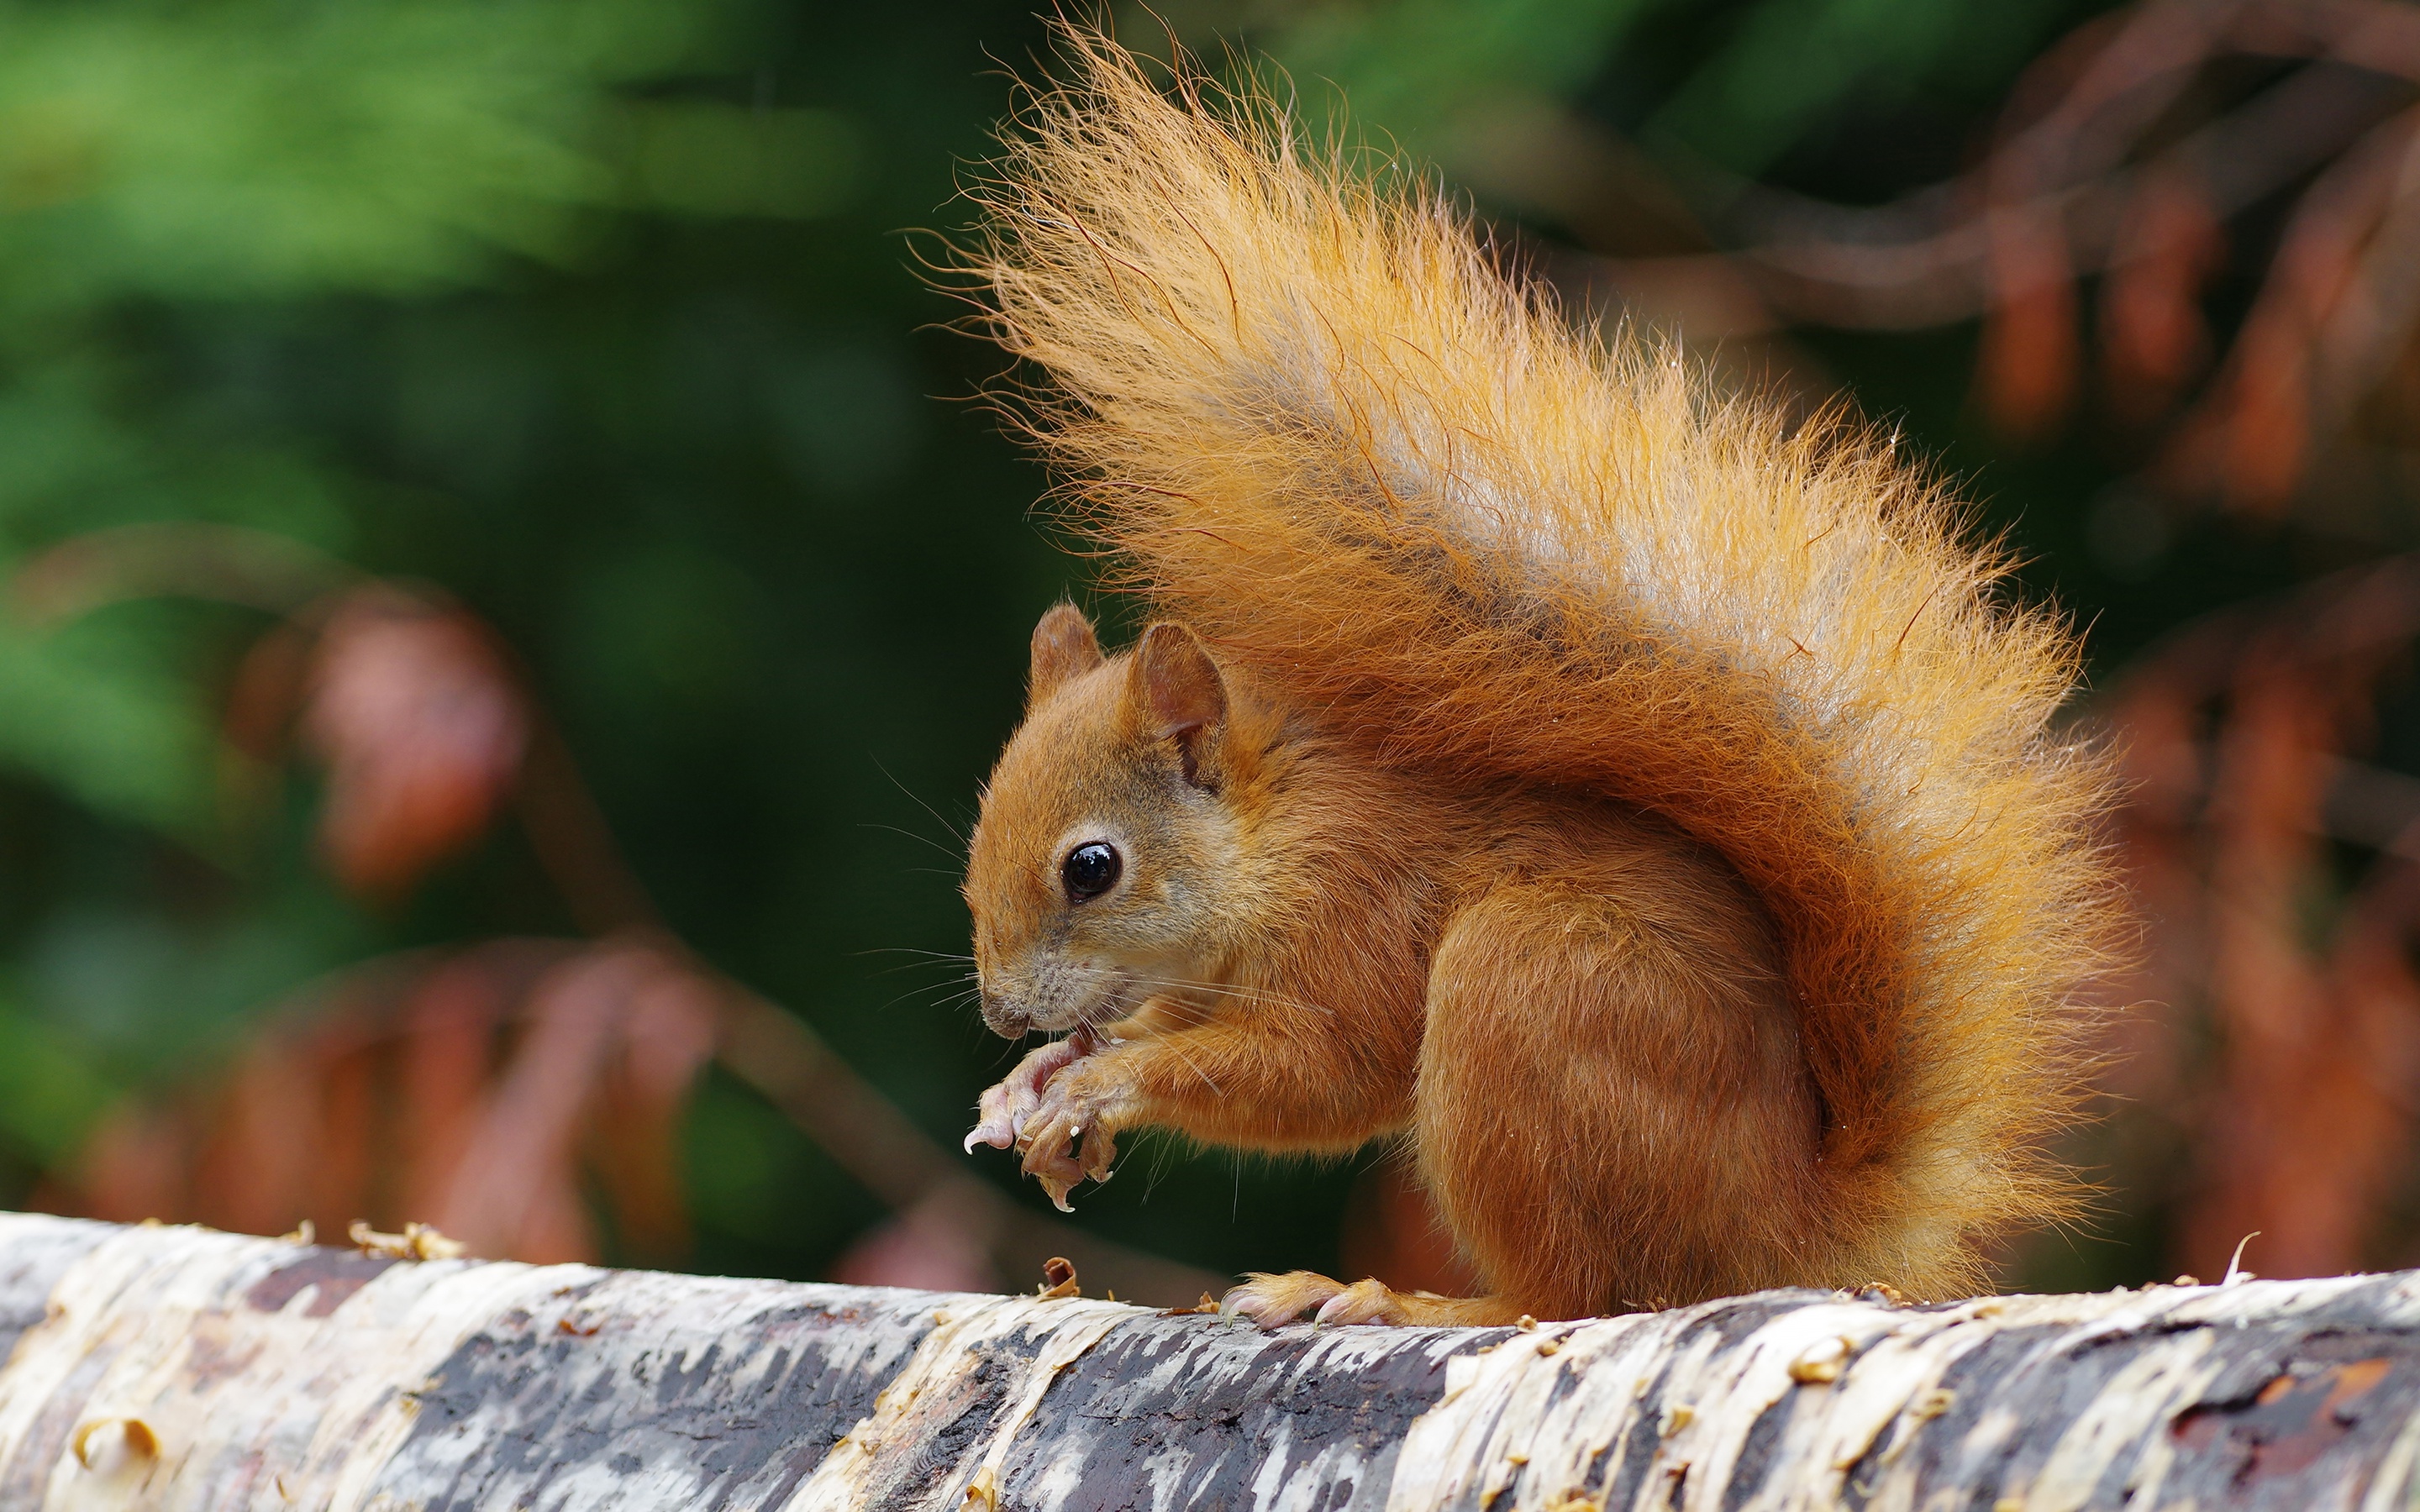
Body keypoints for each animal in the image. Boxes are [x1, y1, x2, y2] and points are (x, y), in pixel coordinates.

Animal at [953, 29, 2124, 1327]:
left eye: (1093, 869)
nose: (1001, 1010)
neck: (1271, 835)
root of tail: (1789, 1232)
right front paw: (1033, 1082)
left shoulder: (1357, 909)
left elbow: (1317, 1074)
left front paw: (1096, 1085)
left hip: (1530, 996)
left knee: (1568, 1296)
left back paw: (1402, 1301)